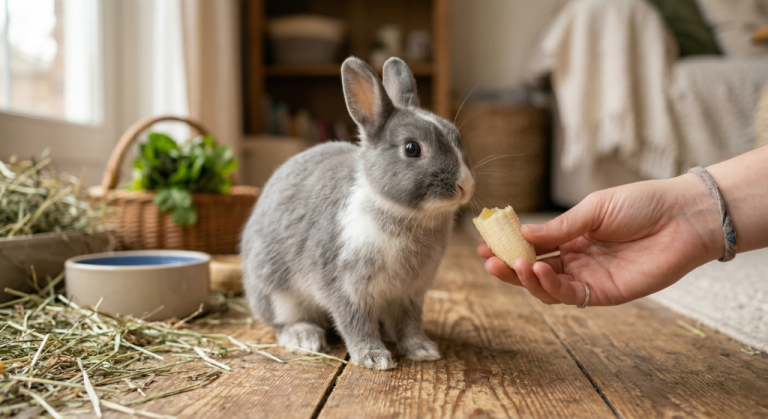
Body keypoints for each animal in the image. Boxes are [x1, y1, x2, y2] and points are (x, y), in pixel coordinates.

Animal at [240, 56, 475, 370]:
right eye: (412, 148)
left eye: (455, 136)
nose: (465, 185)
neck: (400, 211)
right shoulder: (347, 288)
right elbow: (356, 324)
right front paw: (374, 358)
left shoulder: (411, 294)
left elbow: (410, 324)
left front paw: (423, 350)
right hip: (279, 293)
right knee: (281, 322)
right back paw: (305, 337)